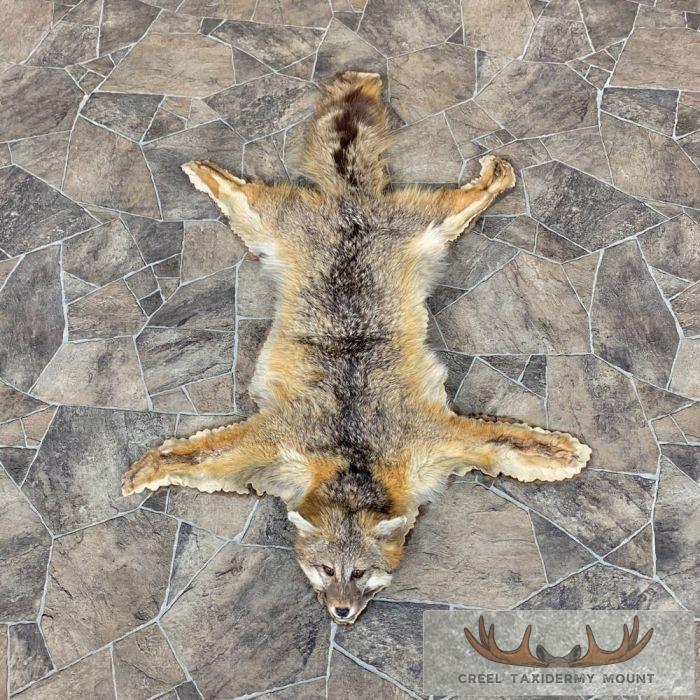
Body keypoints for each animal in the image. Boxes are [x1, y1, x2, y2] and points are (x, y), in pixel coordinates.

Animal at [121, 71, 592, 625]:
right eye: (326, 571)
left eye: (362, 574)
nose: (342, 614)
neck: (354, 459)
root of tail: (350, 200)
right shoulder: (272, 443)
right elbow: (192, 457)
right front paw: (148, 469)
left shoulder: (436, 441)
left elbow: (510, 443)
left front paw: (562, 452)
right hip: (271, 222)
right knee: (238, 189)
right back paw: (205, 171)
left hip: (431, 228)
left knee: (477, 191)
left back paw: (497, 173)